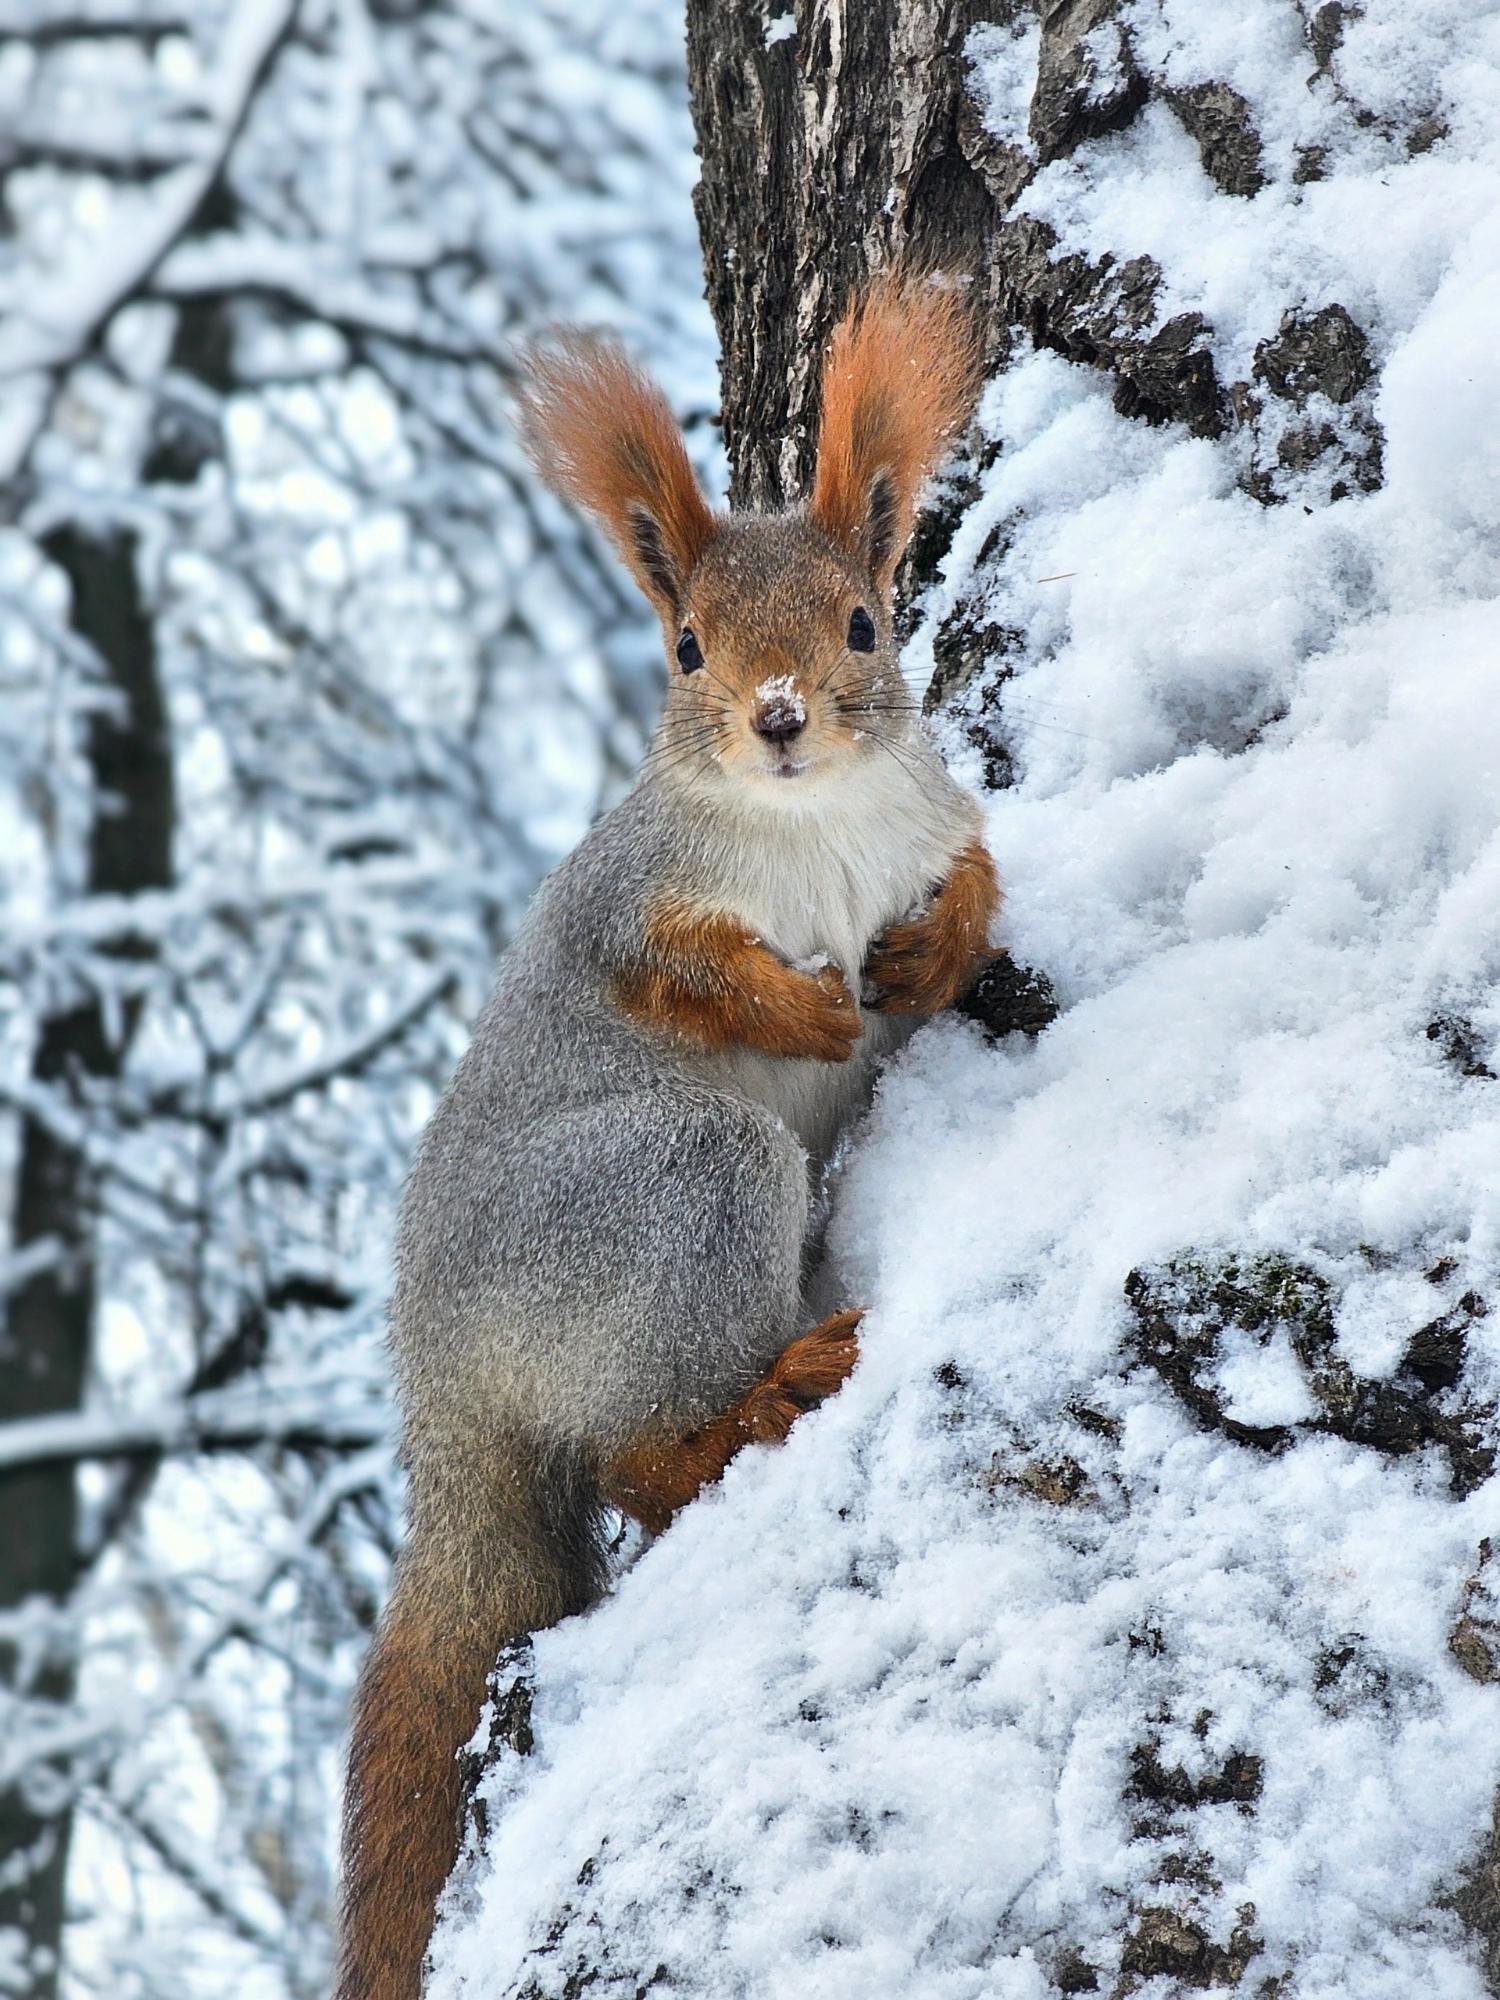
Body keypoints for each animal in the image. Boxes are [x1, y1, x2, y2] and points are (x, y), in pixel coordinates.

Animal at [334, 278, 1004, 2000]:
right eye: (686, 644)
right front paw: (803, 1011)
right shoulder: (615, 903)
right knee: (641, 1458)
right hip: (665, 1192)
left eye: (866, 621)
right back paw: (775, 1390)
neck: (813, 824)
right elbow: (678, 970)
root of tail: (447, 1389)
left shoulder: (936, 823)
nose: (774, 720)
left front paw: (927, 955)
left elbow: (975, 887)